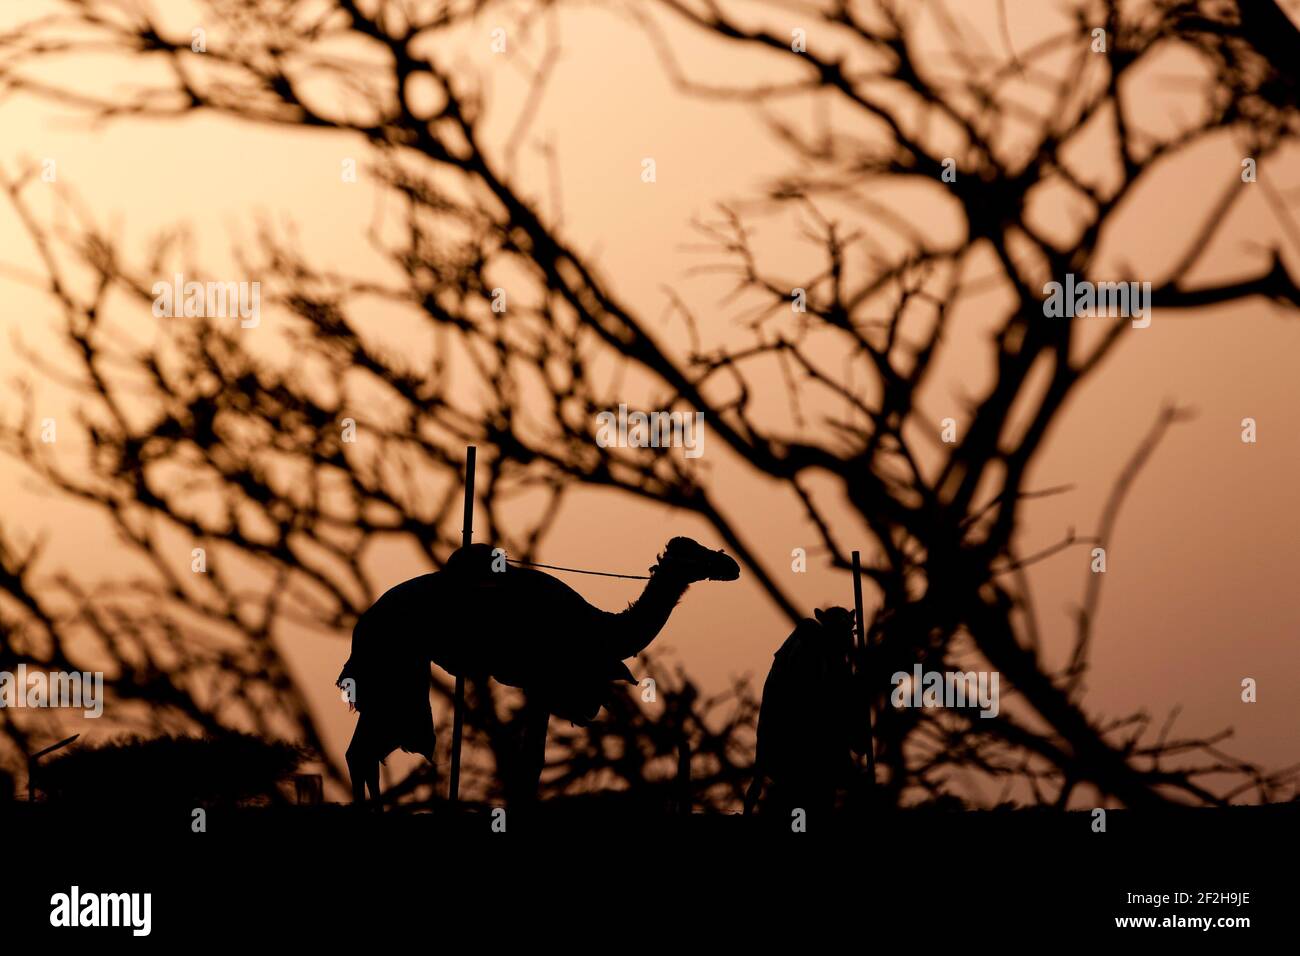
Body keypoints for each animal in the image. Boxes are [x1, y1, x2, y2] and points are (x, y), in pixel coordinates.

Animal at [337, 536, 740, 805]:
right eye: (694, 553)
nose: (730, 565)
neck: (602, 631)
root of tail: (362, 625)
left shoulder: (539, 688)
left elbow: (530, 760)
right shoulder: (544, 683)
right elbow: (532, 761)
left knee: (361, 753)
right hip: (396, 673)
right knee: (365, 751)